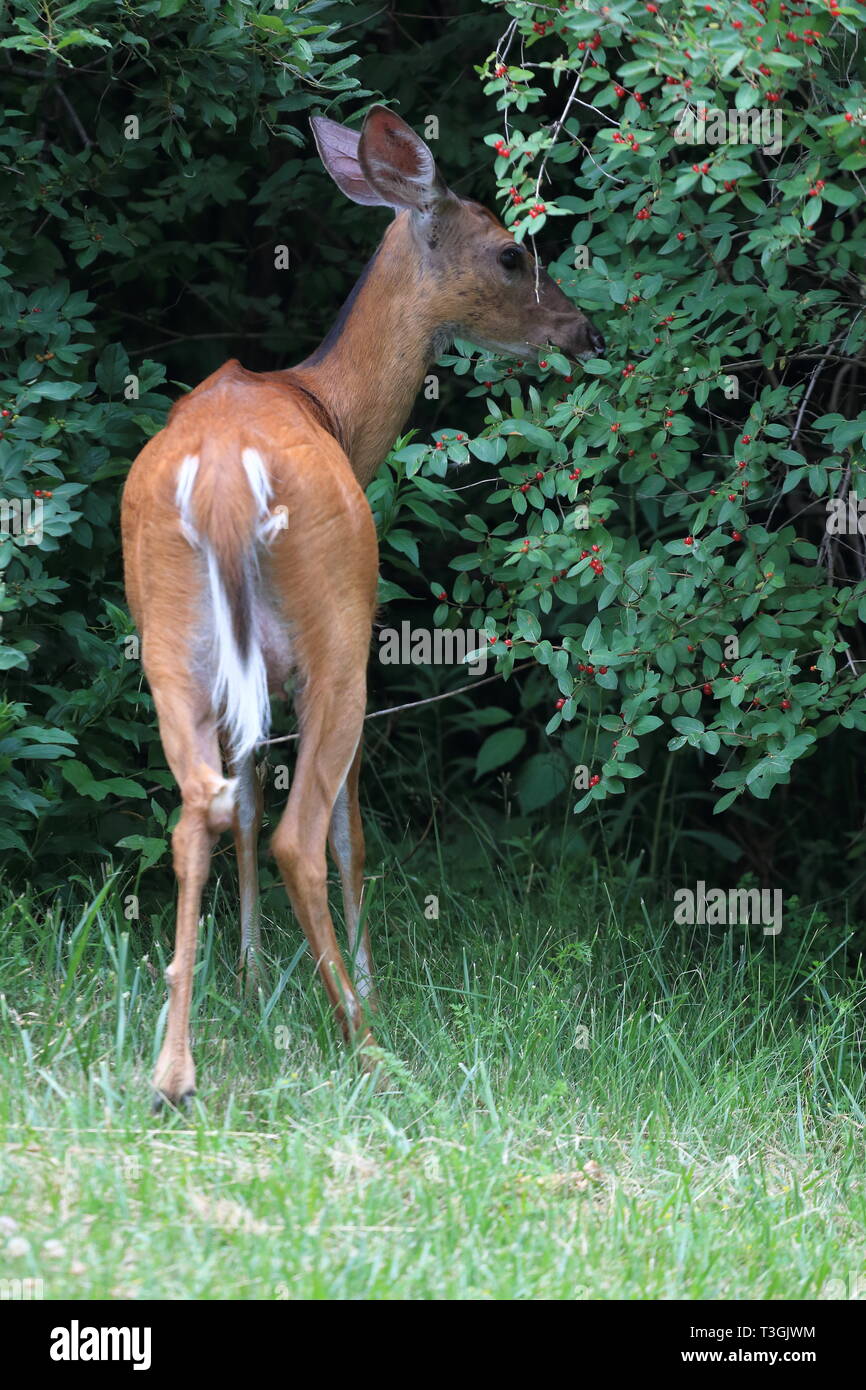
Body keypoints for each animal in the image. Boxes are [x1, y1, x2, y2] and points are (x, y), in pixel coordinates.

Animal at [121, 104, 605, 1107]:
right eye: (510, 252)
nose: (586, 331)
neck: (330, 405)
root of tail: (221, 479)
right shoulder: (349, 646)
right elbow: (345, 833)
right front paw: (356, 982)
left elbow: (243, 803)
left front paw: (250, 980)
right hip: (337, 636)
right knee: (304, 835)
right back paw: (368, 1038)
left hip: (170, 644)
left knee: (198, 810)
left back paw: (175, 1072)